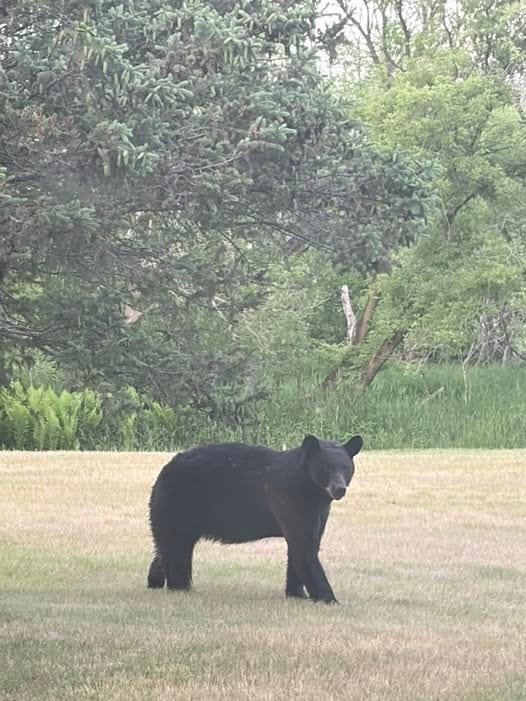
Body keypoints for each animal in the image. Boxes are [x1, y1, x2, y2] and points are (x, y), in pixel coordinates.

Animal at [147, 433, 363, 603]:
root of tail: (165, 469)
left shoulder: (319, 511)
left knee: (166, 547)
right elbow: (304, 549)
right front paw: (329, 598)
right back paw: (179, 586)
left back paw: (155, 581)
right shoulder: (290, 498)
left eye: (345, 467)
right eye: (326, 467)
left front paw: (296, 593)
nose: (339, 488)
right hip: (178, 504)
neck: (311, 489)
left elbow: (303, 546)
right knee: (175, 547)